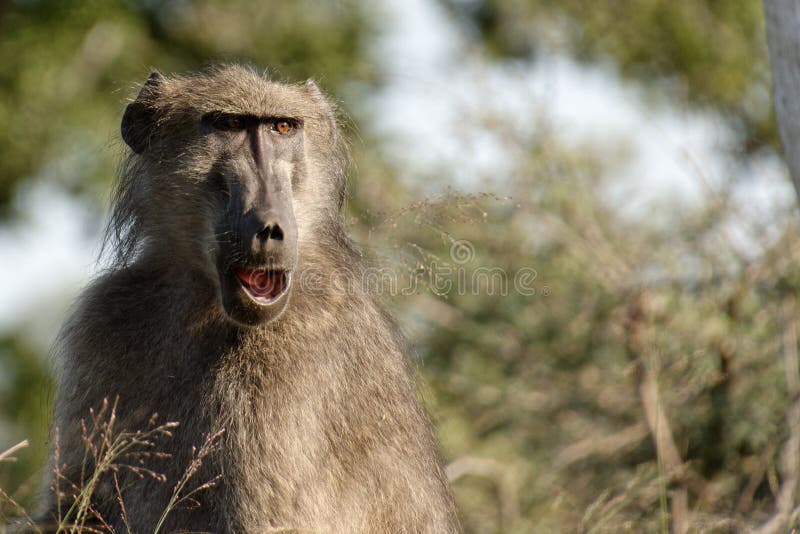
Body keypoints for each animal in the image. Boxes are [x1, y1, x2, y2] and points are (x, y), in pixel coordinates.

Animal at [32, 65, 460, 533]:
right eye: (229, 124)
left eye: (283, 127)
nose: (271, 228)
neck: (204, 301)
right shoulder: (106, 316)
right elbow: (76, 503)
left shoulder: (293, 355)